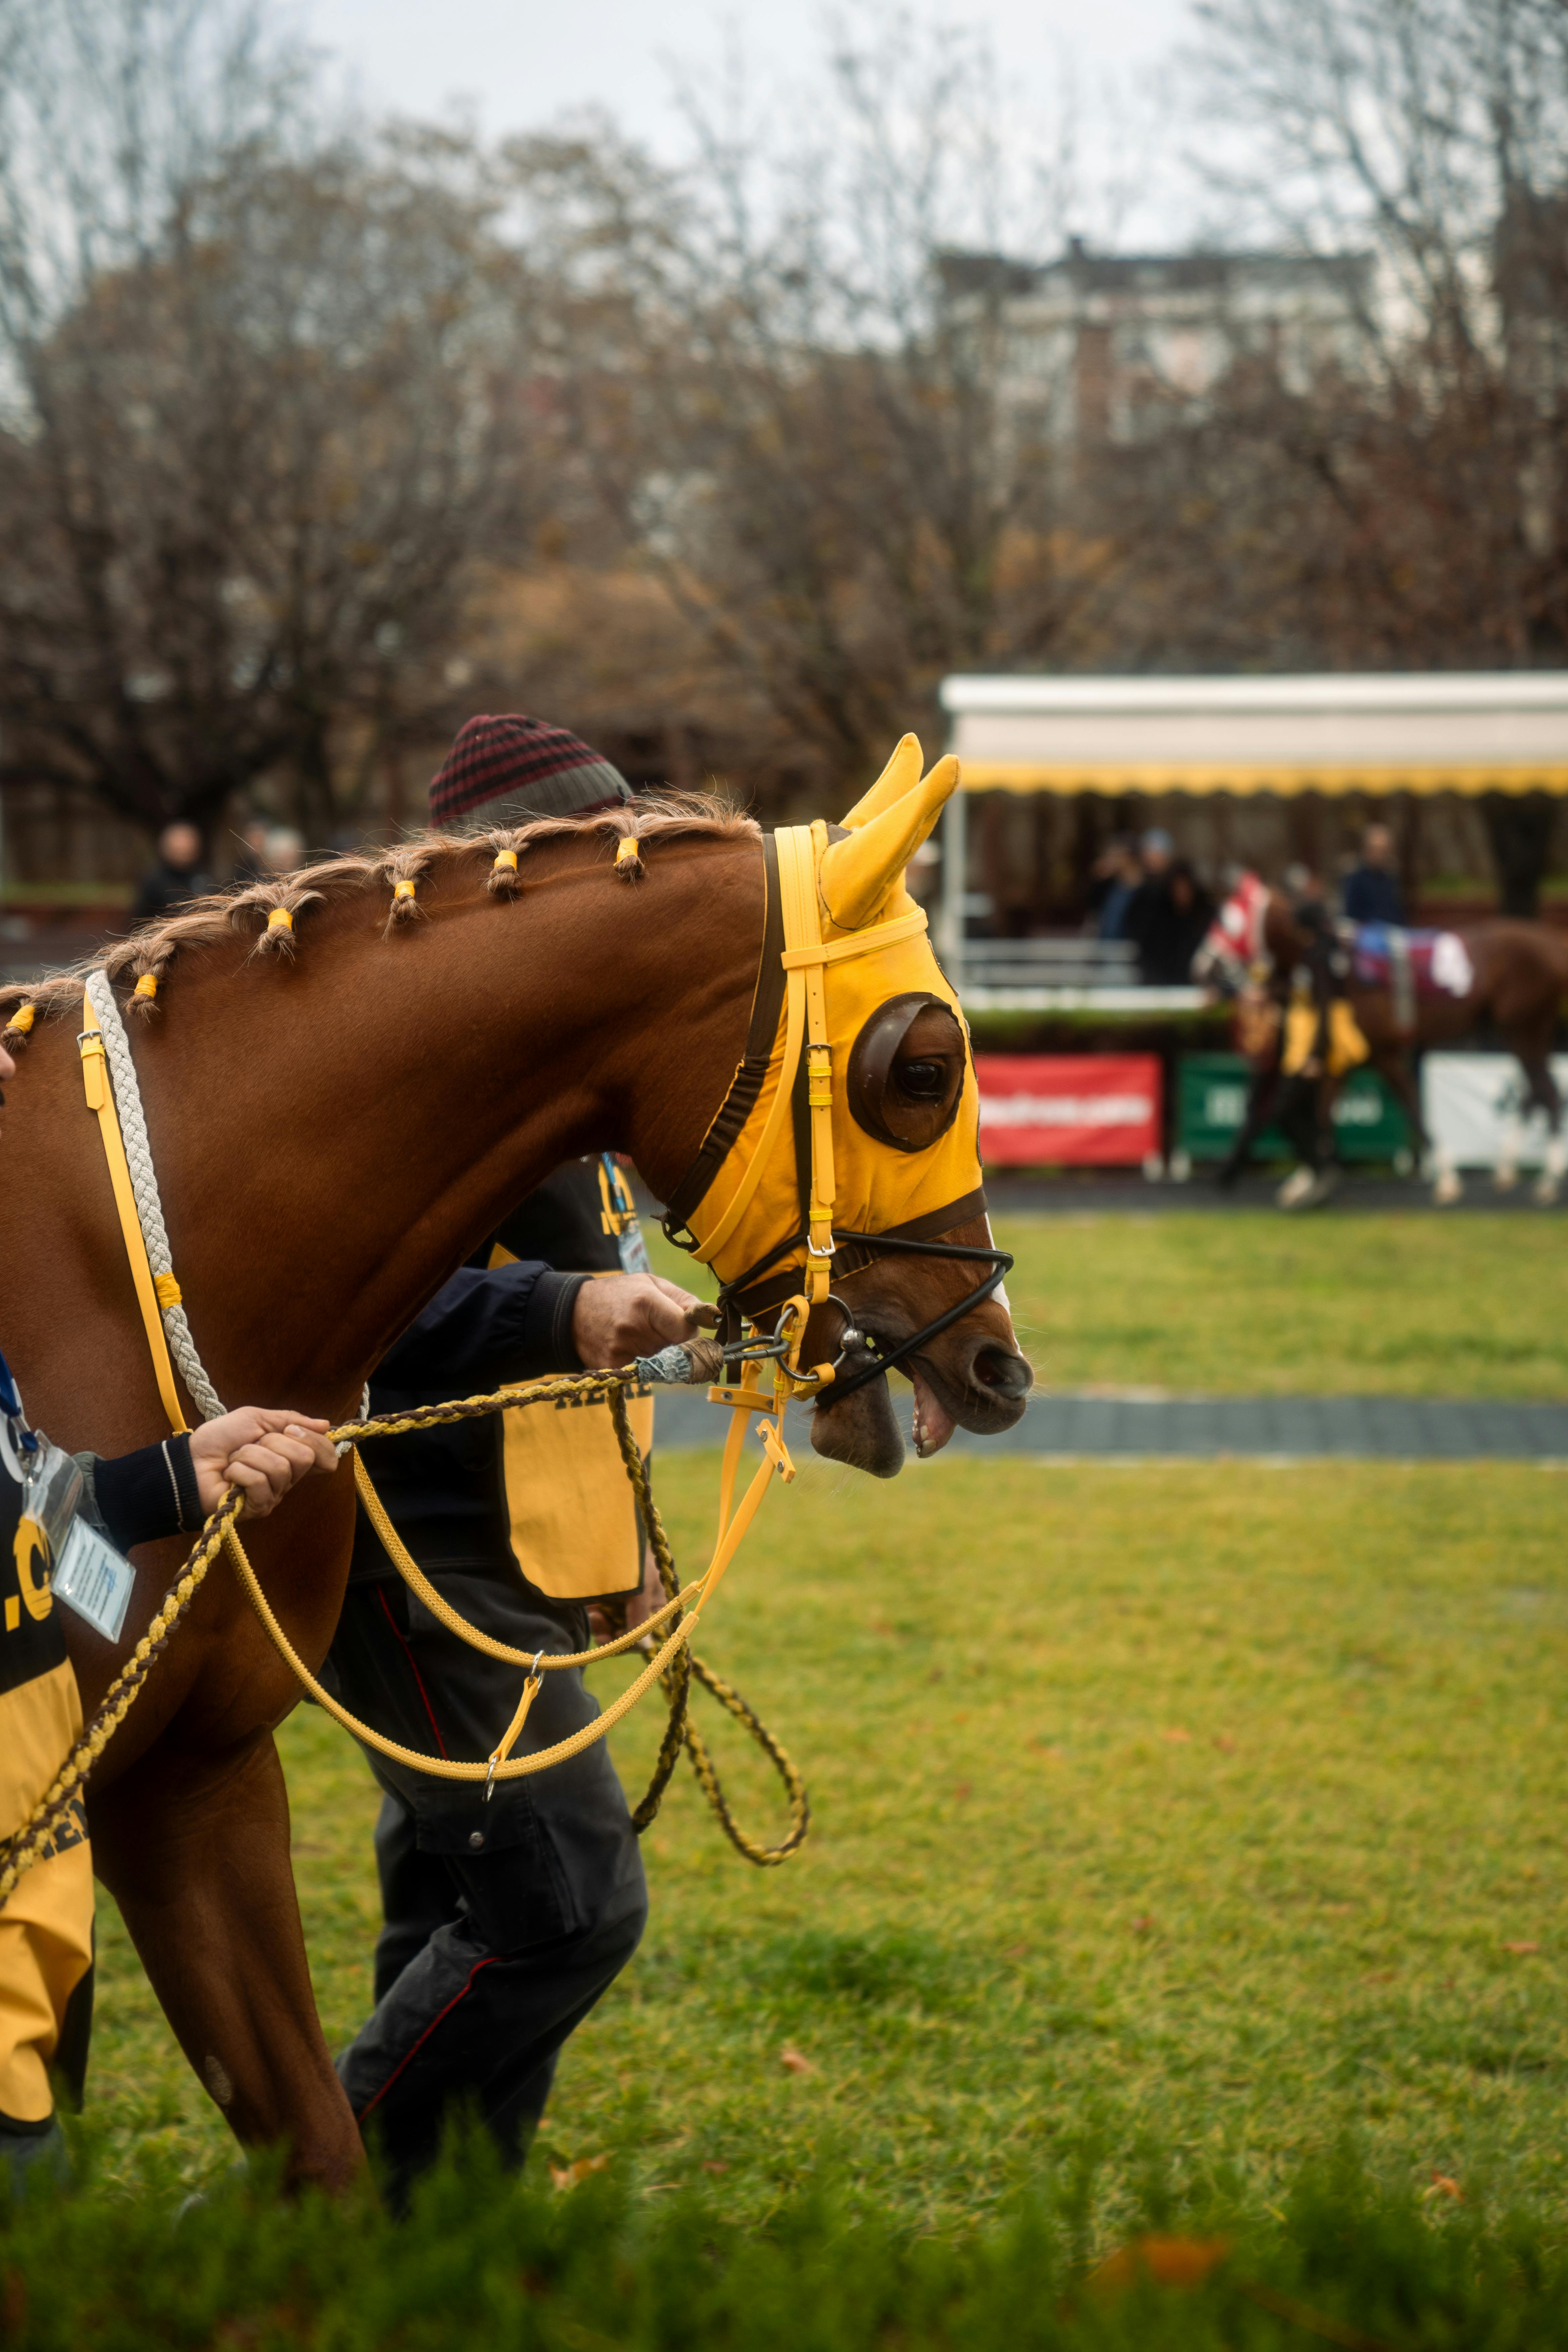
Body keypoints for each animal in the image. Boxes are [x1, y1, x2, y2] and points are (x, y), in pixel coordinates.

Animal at [1193, 871, 1568, 1205]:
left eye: (1228, 921)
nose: (1202, 966)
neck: (1340, 966)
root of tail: (1549, 944)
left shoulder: (1381, 1054)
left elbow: (1411, 1107)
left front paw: (1447, 1180)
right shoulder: (1344, 1057)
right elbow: (1321, 1115)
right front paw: (1307, 1180)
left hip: (1524, 1028)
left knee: (1548, 1095)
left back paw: (1547, 1182)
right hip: (1528, 1030)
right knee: (1537, 1094)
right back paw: (1509, 1171)